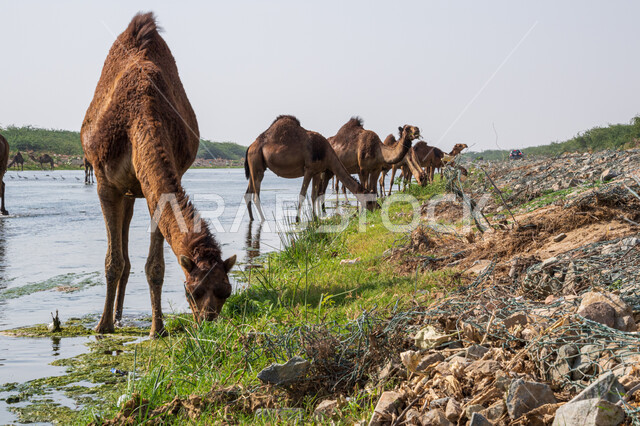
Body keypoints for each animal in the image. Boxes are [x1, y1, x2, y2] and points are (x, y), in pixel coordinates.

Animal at [81, 12, 236, 337]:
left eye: (227, 291)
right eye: (192, 291)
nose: (208, 323)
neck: (141, 112)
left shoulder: (156, 190)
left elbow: (155, 266)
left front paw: (157, 328)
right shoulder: (104, 183)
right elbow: (112, 261)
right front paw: (103, 326)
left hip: (133, 190)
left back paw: (121, 315)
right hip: (119, 187)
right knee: (121, 253)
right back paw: (114, 317)